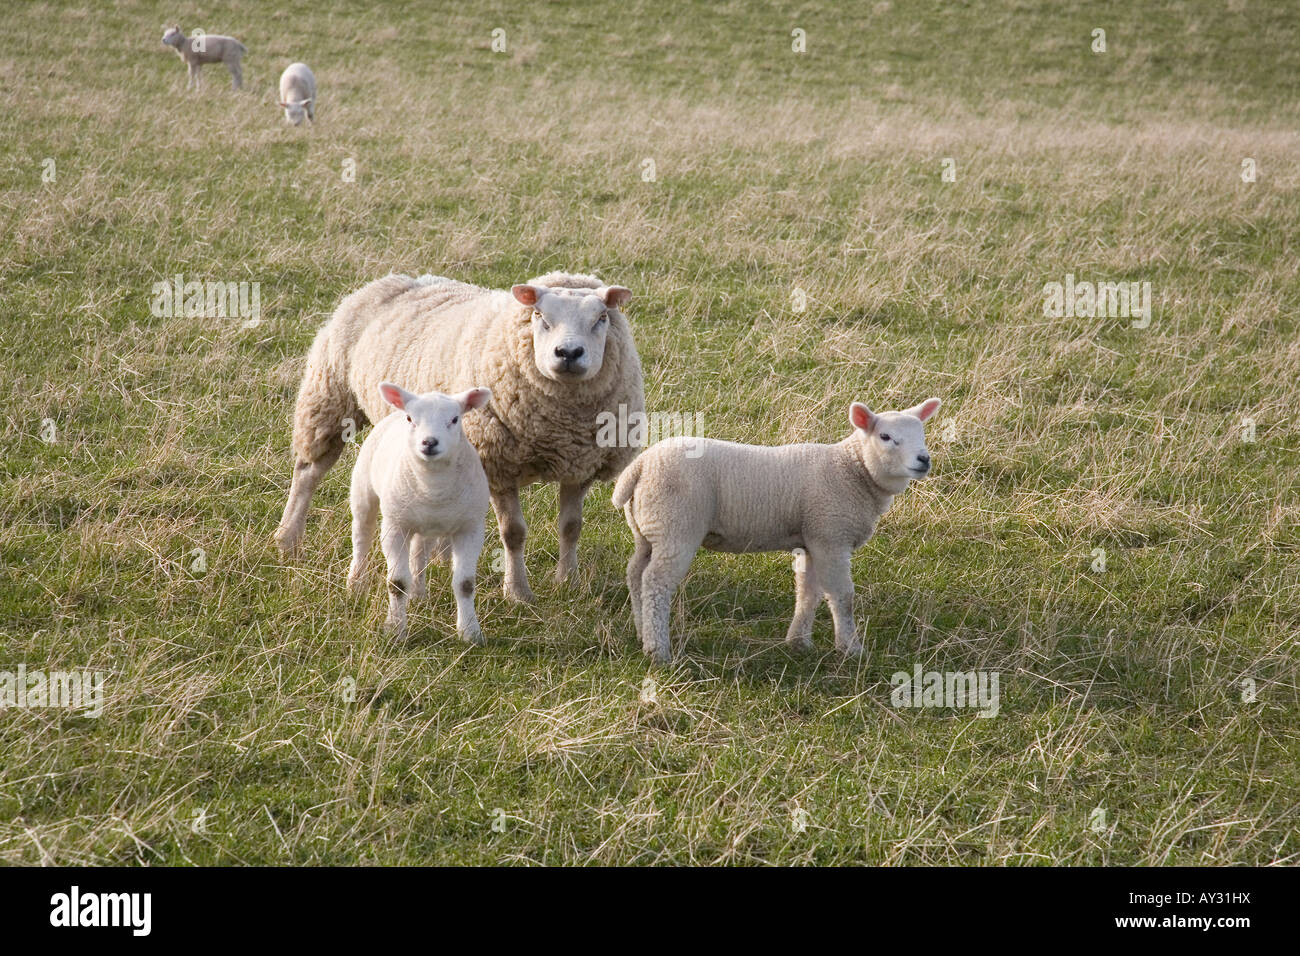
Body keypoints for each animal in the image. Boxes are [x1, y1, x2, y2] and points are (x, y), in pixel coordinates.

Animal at [276, 272, 645, 604]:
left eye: (601, 318)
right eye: (540, 316)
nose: (568, 353)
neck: (558, 426)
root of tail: (393, 279)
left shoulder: (580, 465)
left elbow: (571, 526)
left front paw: (568, 582)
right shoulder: (497, 466)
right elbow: (513, 533)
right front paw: (518, 593)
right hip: (329, 397)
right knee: (308, 472)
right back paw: (288, 538)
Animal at [347, 382, 493, 642]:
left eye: (455, 419)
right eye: (410, 418)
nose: (429, 442)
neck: (433, 488)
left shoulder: (471, 527)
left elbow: (465, 584)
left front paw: (470, 632)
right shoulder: (395, 526)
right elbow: (396, 582)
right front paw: (395, 629)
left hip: (426, 525)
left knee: (419, 553)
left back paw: (417, 593)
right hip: (363, 490)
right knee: (361, 537)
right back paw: (355, 583)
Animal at [613, 397, 941, 664]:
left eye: (922, 435)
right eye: (886, 437)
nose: (923, 460)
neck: (852, 469)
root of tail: (641, 465)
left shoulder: (812, 539)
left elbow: (808, 592)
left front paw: (799, 642)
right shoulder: (831, 536)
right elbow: (842, 595)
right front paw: (851, 649)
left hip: (648, 528)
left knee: (635, 573)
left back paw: (642, 633)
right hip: (676, 527)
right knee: (656, 583)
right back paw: (658, 651)